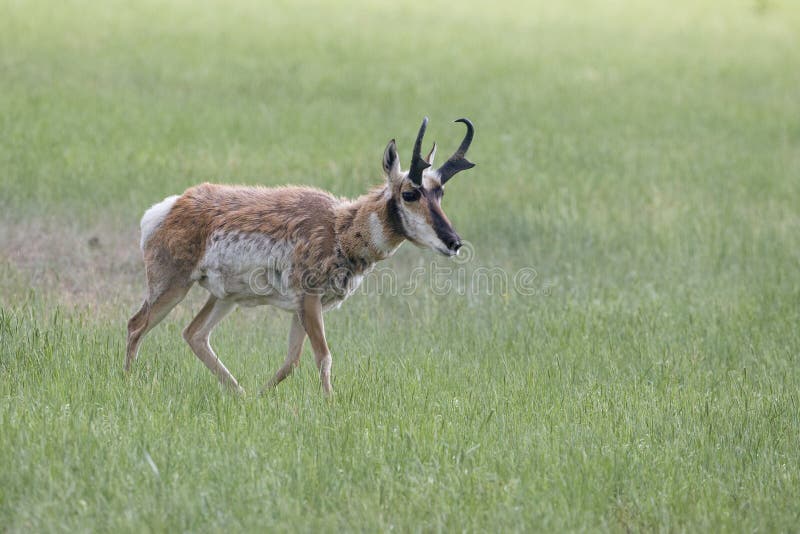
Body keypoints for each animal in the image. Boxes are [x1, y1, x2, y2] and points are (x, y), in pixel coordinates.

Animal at [125, 117, 476, 395]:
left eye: (440, 193)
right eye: (410, 193)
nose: (454, 242)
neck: (339, 227)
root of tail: (169, 206)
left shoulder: (300, 307)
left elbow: (291, 361)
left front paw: (261, 397)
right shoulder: (309, 299)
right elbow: (323, 356)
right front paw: (331, 404)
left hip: (225, 298)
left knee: (194, 334)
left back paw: (240, 393)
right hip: (172, 286)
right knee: (136, 325)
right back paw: (129, 383)